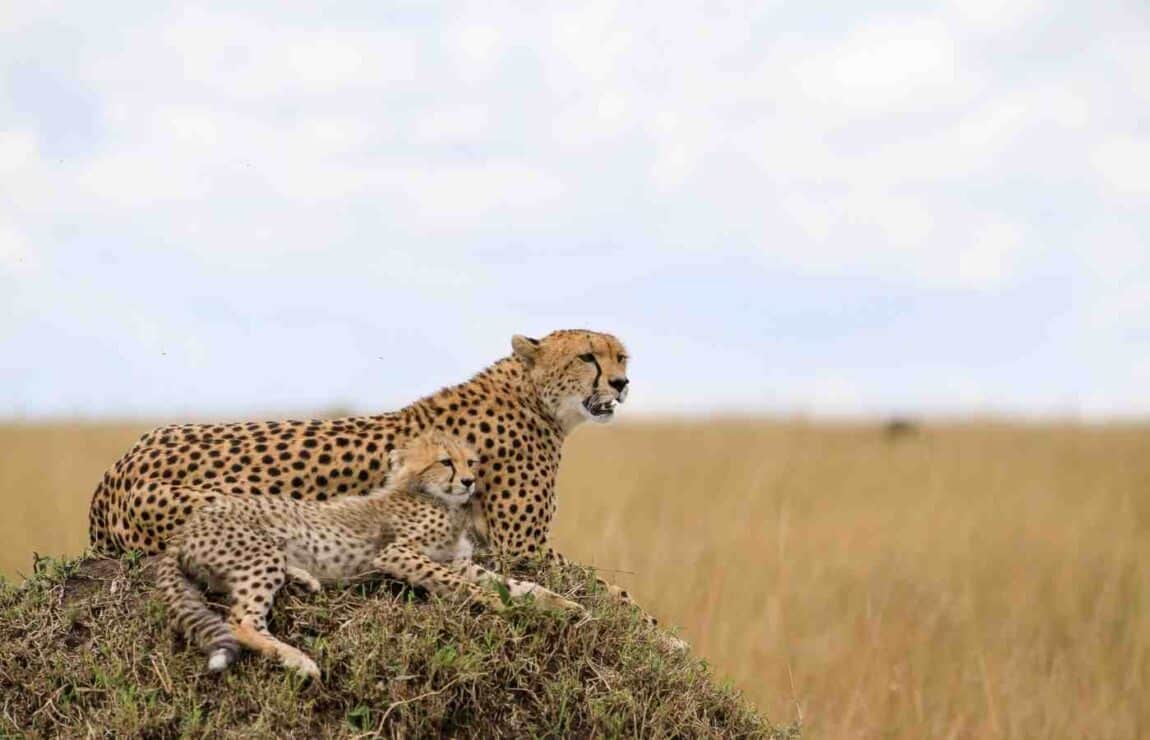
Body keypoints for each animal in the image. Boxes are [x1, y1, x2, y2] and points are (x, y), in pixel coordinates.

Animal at [157, 431, 583, 678]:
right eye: (445, 461)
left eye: (471, 461)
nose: (469, 481)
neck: (437, 499)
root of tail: (186, 528)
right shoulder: (398, 554)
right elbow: (465, 586)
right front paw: (499, 606)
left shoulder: (461, 562)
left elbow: (518, 585)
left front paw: (563, 604)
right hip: (257, 555)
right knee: (242, 620)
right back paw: (299, 660)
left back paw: (305, 579)